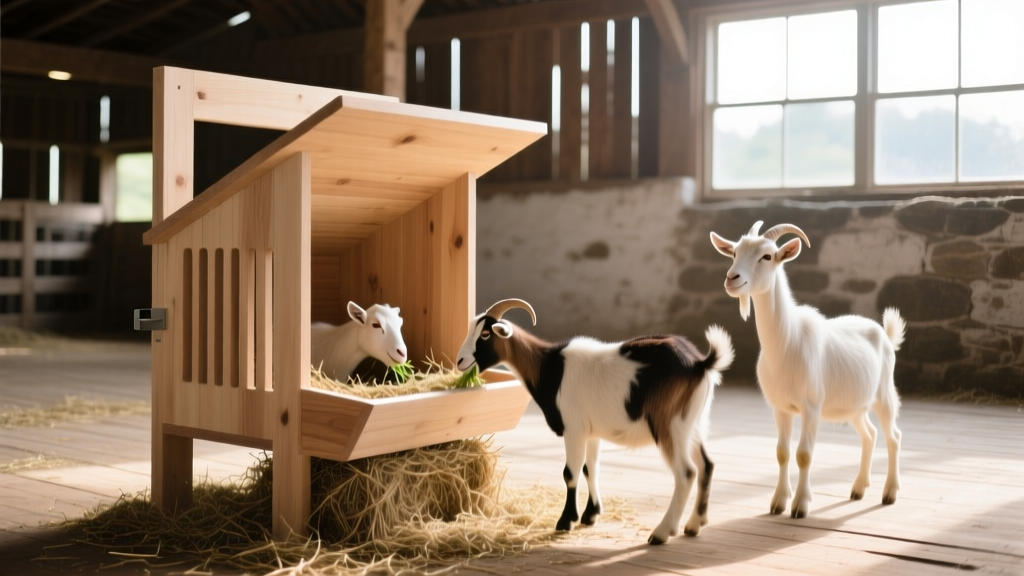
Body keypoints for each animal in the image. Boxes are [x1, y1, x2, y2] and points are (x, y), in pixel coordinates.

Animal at [456, 299, 734, 545]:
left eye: (485, 334)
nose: (460, 361)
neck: (549, 367)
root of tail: (700, 364)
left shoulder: (574, 429)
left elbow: (570, 473)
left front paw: (565, 521)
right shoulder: (591, 433)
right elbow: (590, 469)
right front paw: (590, 515)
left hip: (668, 424)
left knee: (686, 472)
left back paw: (662, 533)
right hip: (693, 423)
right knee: (707, 465)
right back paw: (694, 524)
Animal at [710, 221, 906, 519]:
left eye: (767, 256)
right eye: (734, 253)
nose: (732, 278)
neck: (786, 342)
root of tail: (884, 332)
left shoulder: (811, 407)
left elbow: (804, 454)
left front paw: (800, 505)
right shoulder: (780, 408)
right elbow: (782, 452)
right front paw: (778, 502)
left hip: (884, 395)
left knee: (893, 437)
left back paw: (889, 493)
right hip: (854, 405)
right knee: (869, 435)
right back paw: (858, 488)